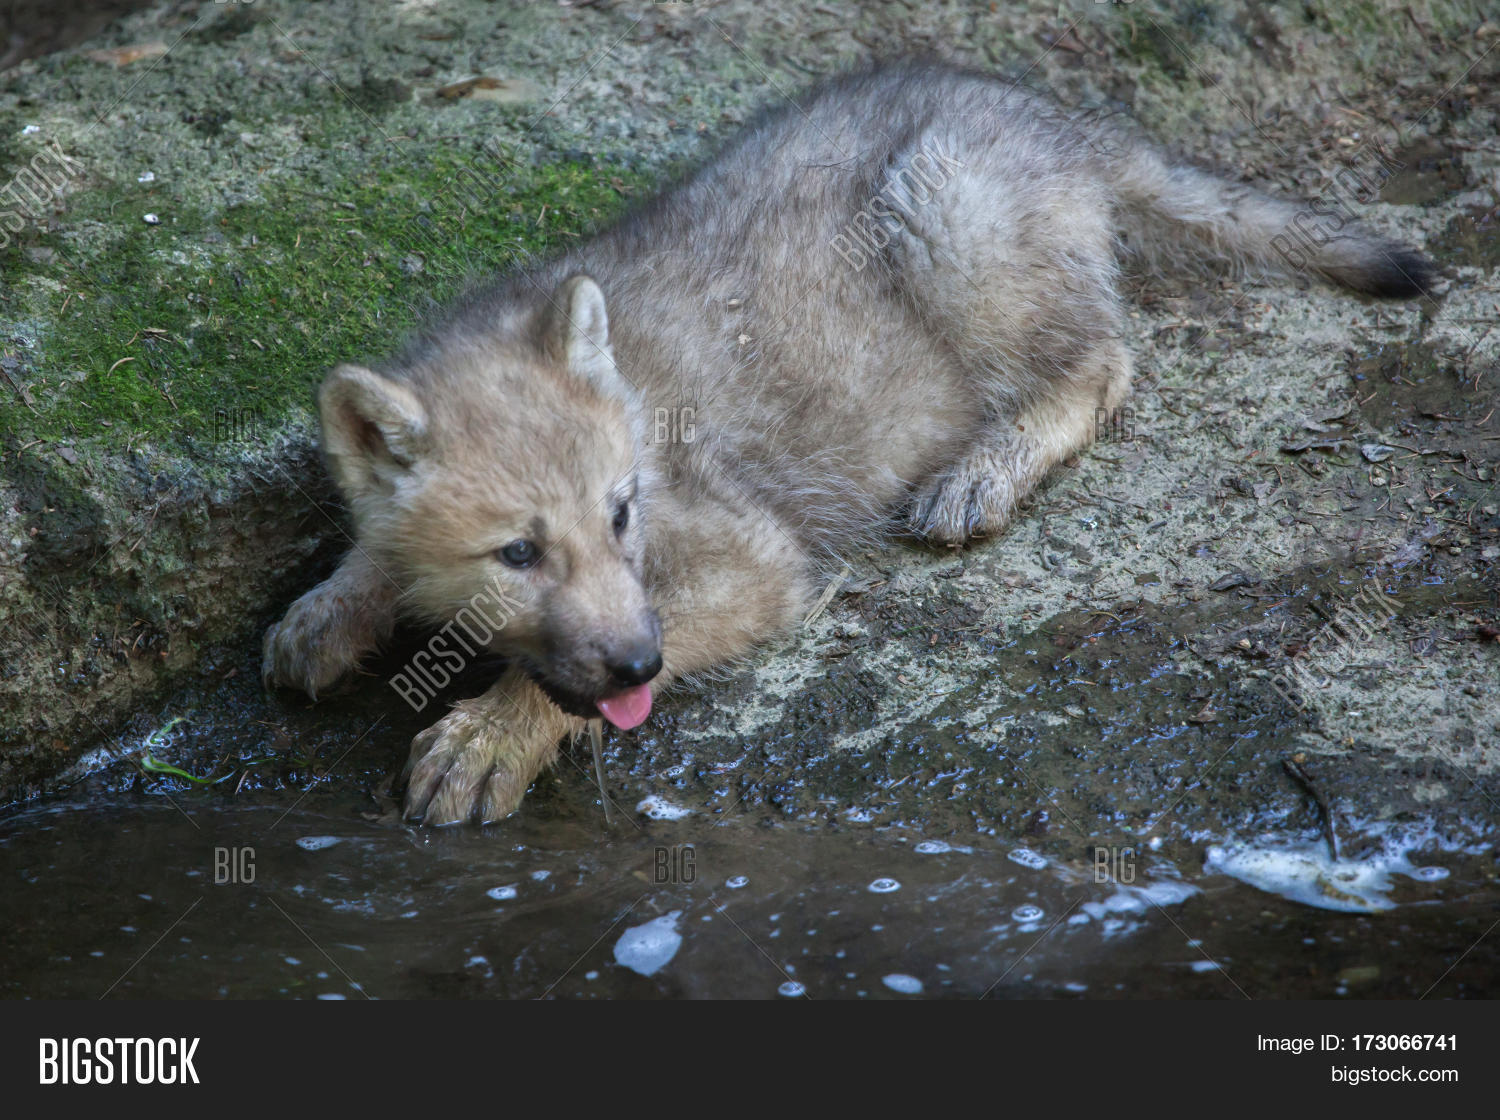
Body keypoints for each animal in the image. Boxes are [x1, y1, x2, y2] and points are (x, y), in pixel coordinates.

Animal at [263, 61, 1434, 825]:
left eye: (622, 512)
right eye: (517, 553)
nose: (639, 661)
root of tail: (1047, 114)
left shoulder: (754, 562)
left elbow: (556, 686)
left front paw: (487, 734)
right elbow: (375, 548)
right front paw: (327, 608)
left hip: (947, 215)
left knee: (1102, 361)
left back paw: (981, 475)